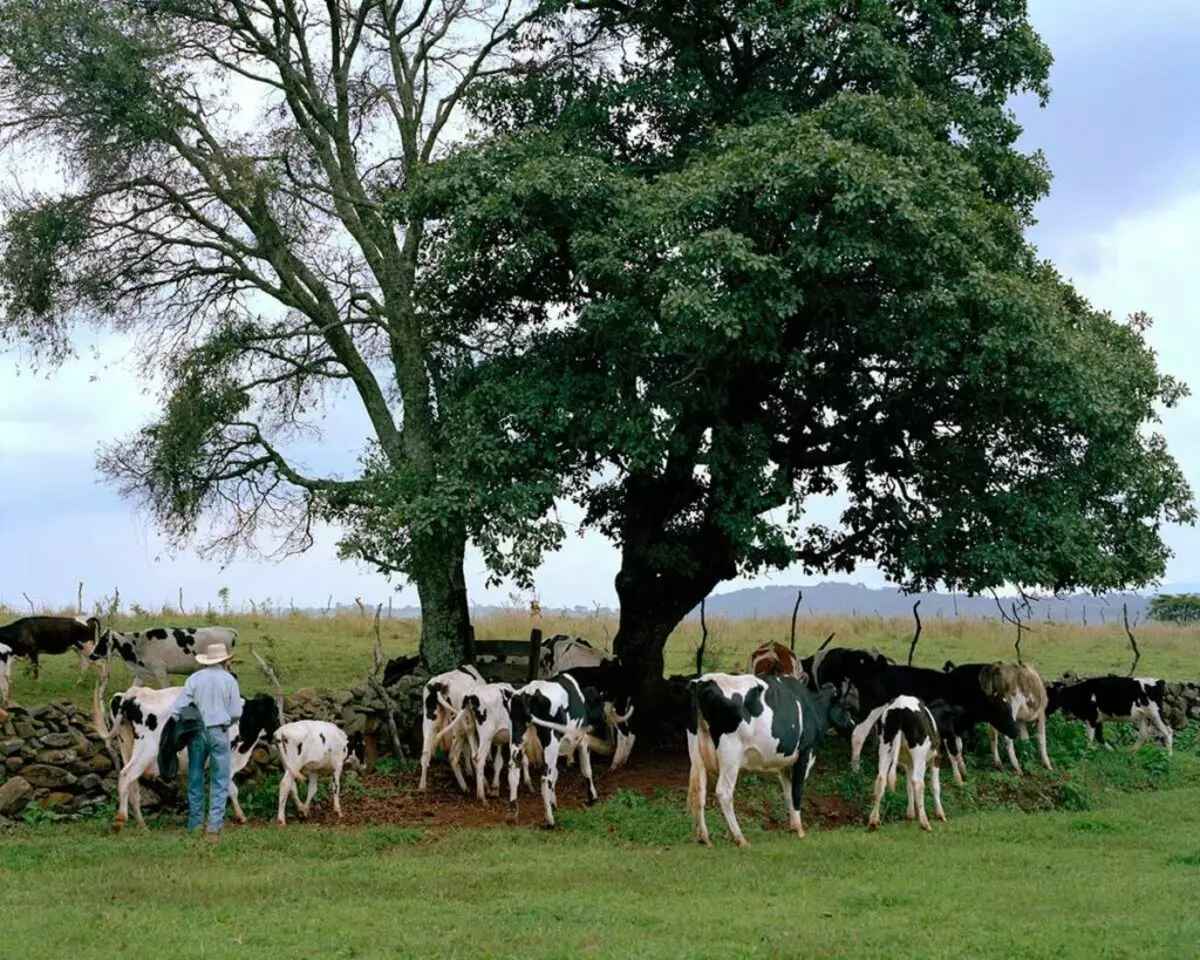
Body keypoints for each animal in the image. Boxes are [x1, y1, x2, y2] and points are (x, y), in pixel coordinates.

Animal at [89, 624, 238, 691]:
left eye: (103, 641)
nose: (91, 655)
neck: (139, 644)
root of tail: (228, 630)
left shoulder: (160, 672)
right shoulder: (141, 674)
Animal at [417, 662, 482, 792]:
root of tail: (441, 681)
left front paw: (469, 772)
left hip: (429, 723)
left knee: (425, 754)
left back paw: (422, 787)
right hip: (462, 725)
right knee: (456, 757)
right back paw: (466, 788)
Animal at [859, 696, 950, 830]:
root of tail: (900, 704)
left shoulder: (908, 764)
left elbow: (909, 786)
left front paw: (910, 815)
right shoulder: (936, 759)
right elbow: (935, 787)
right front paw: (940, 815)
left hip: (885, 747)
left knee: (881, 779)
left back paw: (873, 821)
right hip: (919, 752)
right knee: (918, 782)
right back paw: (925, 823)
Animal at [1046, 672, 1176, 753]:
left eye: (1049, 697)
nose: (1044, 712)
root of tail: (1158, 681)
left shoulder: (1091, 718)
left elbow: (1090, 737)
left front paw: (1086, 752)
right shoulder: (1097, 719)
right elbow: (1099, 737)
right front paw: (1111, 750)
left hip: (1155, 713)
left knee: (1167, 731)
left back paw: (1168, 755)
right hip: (1142, 715)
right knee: (1143, 734)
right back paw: (1132, 752)